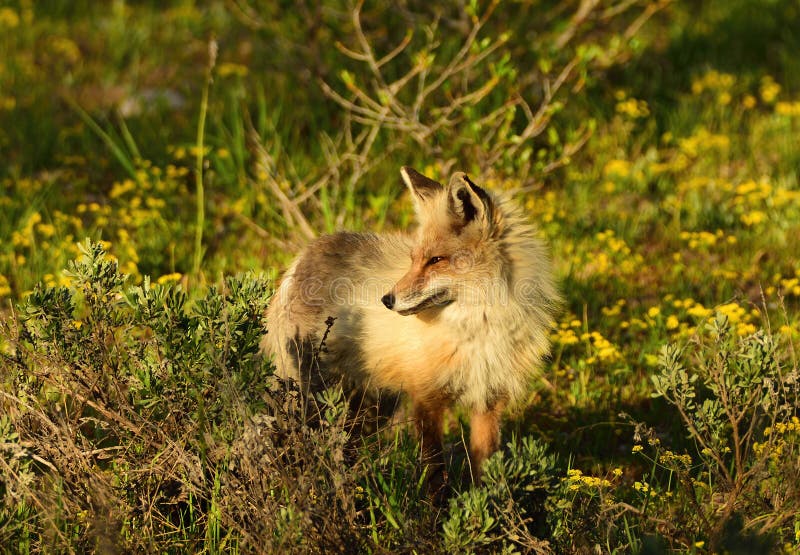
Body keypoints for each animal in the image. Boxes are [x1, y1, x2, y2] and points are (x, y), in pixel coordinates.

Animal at [263, 166, 560, 483]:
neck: (477, 328)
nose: (386, 300)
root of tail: (303, 255)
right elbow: (434, 470)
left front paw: (485, 498)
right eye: (414, 259)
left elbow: (484, 470)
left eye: (436, 260)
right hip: (313, 393)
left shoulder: (489, 399)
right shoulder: (426, 397)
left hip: (372, 406)